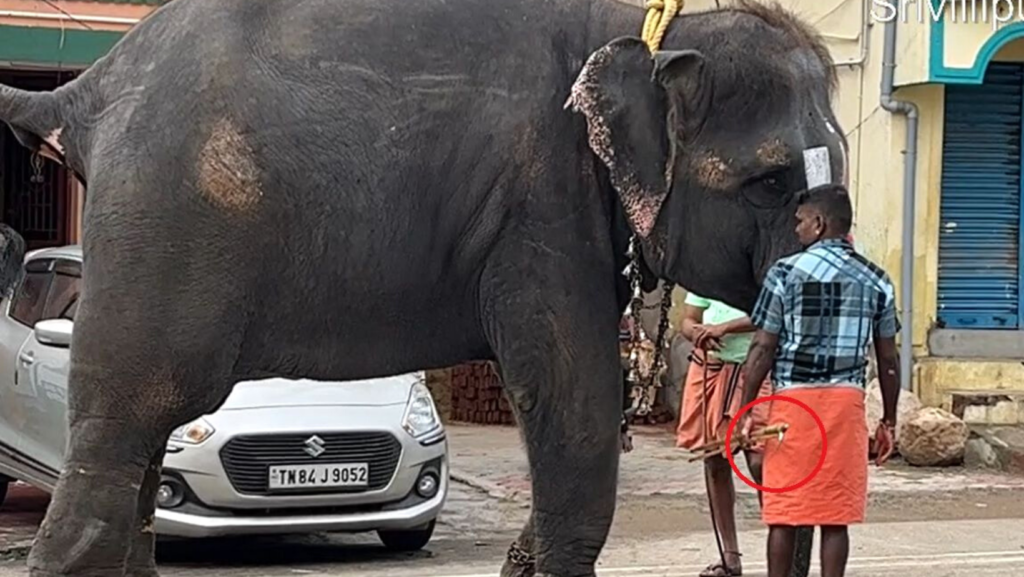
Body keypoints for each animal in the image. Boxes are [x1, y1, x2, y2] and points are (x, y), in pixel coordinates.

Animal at [0, 0, 847, 575]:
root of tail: (89, 89)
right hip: (165, 223)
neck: (641, 27)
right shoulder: (545, 198)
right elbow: (571, 396)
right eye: (771, 182)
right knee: (124, 428)